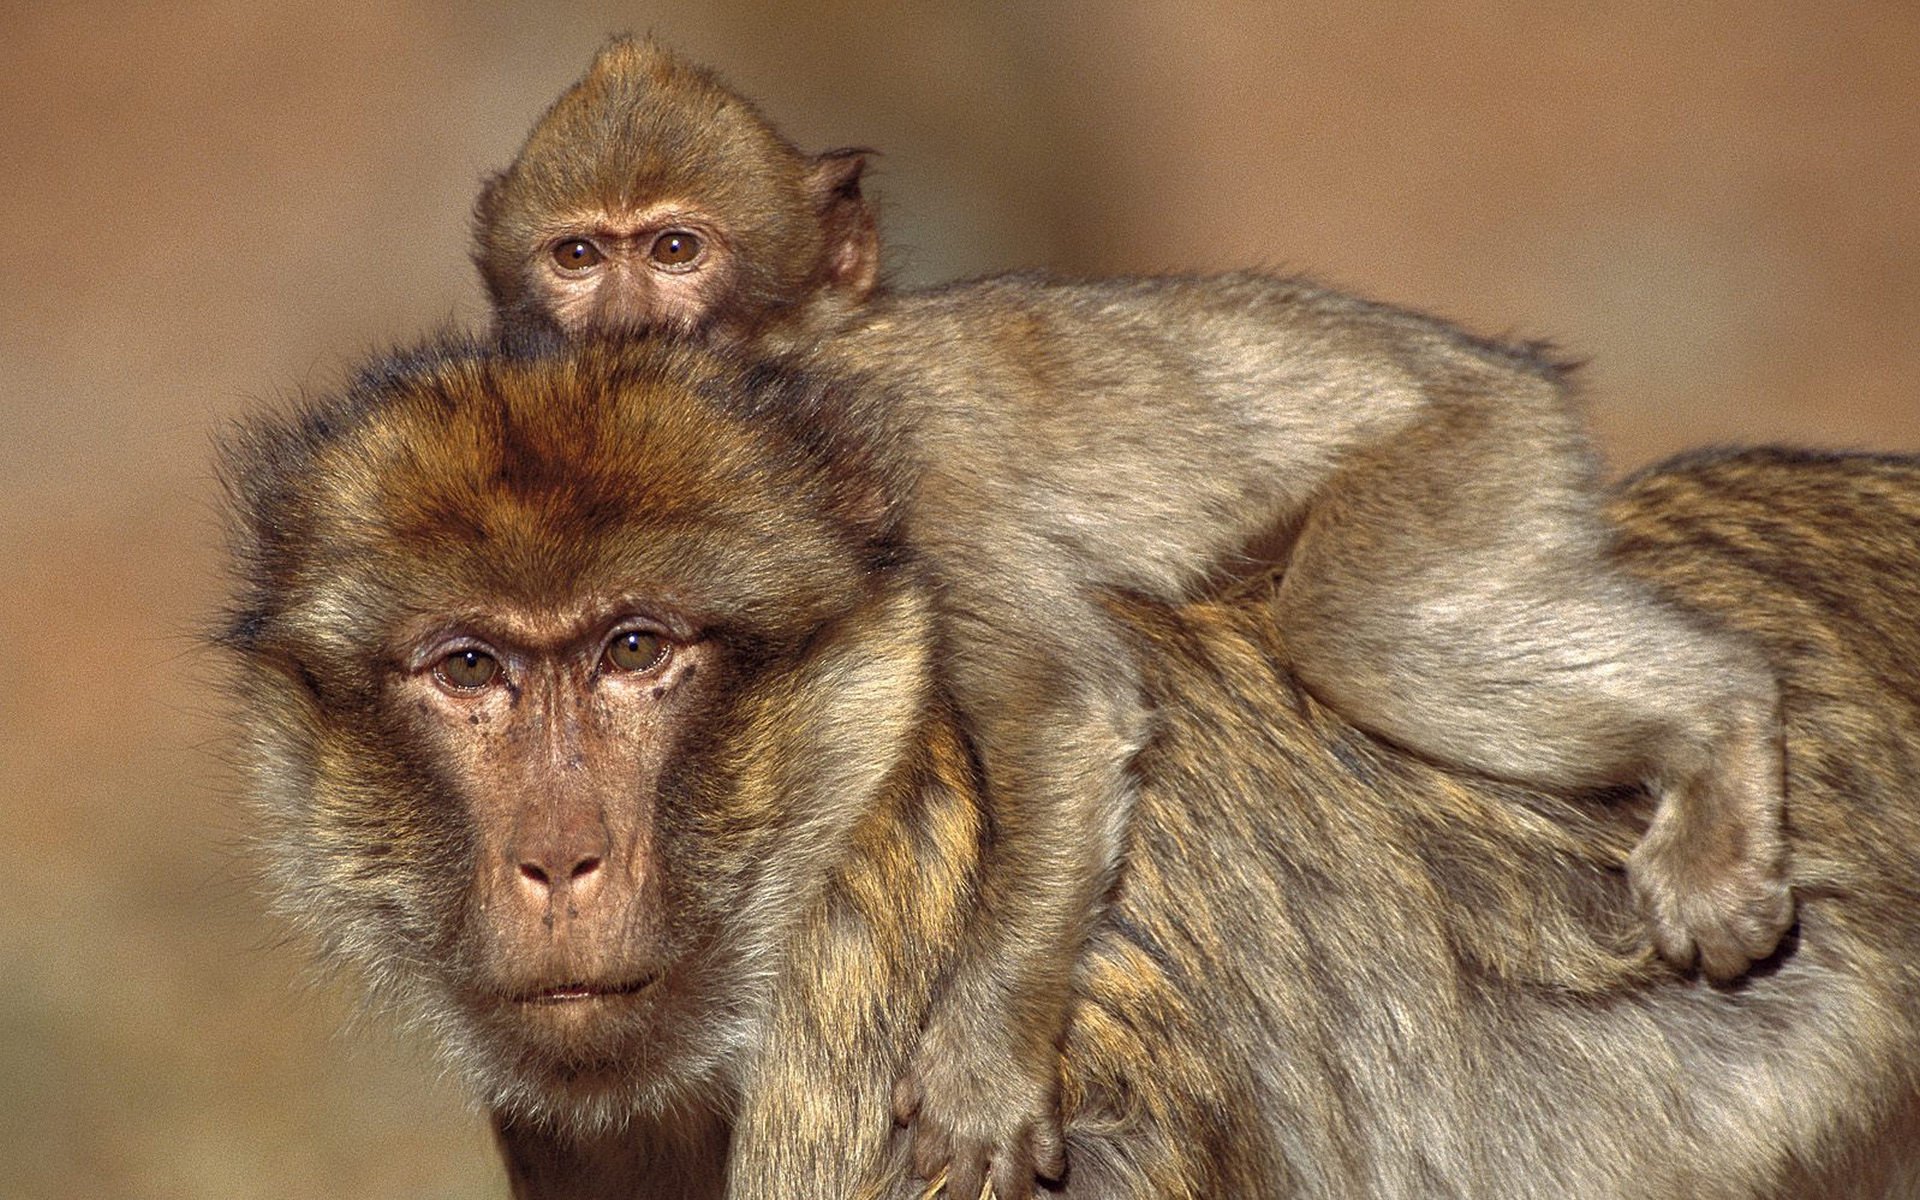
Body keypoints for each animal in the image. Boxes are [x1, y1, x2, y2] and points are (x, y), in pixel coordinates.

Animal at [466, 39, 1795, 1197]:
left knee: (1357, 625)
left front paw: (982, 1067)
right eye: (577, 255)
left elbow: (1063, 711)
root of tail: (1508, 370)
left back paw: (1723, 722)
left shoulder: (908, 456)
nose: (624, 324)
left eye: (676, 249)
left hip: (1471, 457)